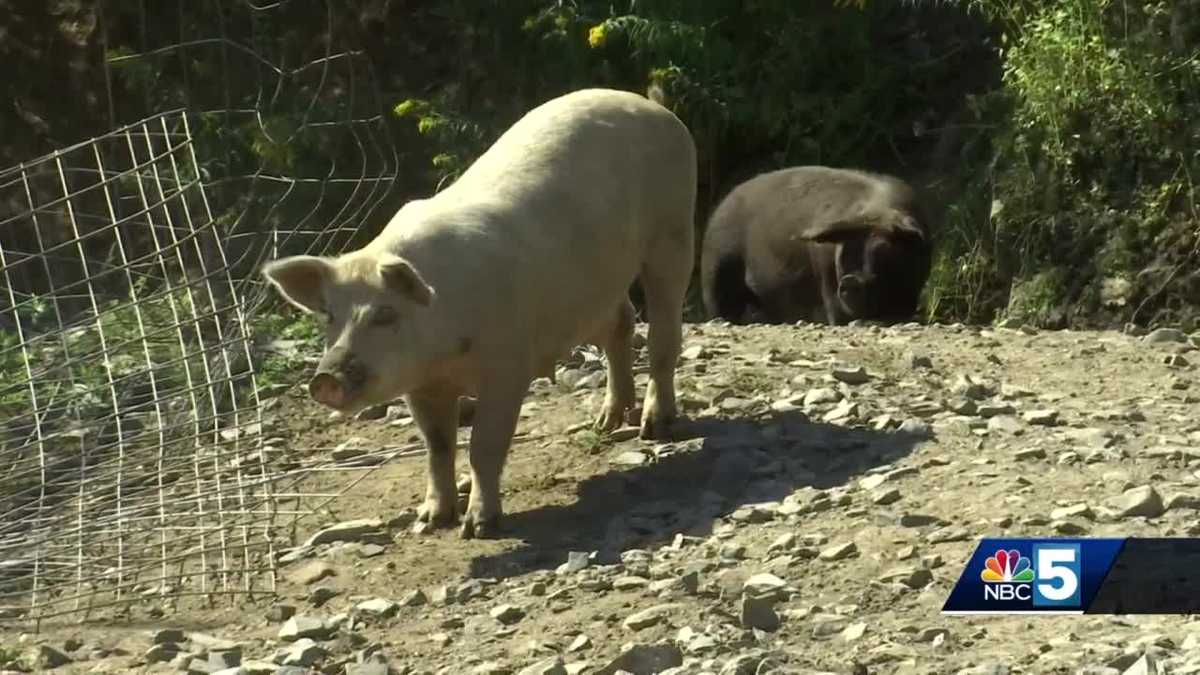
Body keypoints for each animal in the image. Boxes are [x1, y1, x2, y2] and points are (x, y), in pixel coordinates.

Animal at [261, 88, 697, 539]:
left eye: (384, 314)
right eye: (330, 316)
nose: (326, 378)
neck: (444, 352)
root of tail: (651, 105)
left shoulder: (508, 366)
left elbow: (484, 445)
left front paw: (479, 528)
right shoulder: (422, 386)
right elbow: (437, 446)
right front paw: (430, 521)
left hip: (674, 228)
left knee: (663, 333)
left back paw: (654, 427)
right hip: (595, 290)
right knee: (621, 324)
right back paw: (605, 423)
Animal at [700, 166, 931, 325]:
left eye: (883, 251)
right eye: (845, 255)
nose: (850, 279)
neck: (876, 210)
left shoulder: (913, 290)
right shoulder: (826, 276)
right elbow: (834, 308)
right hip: (716, 267)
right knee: (719, 304)